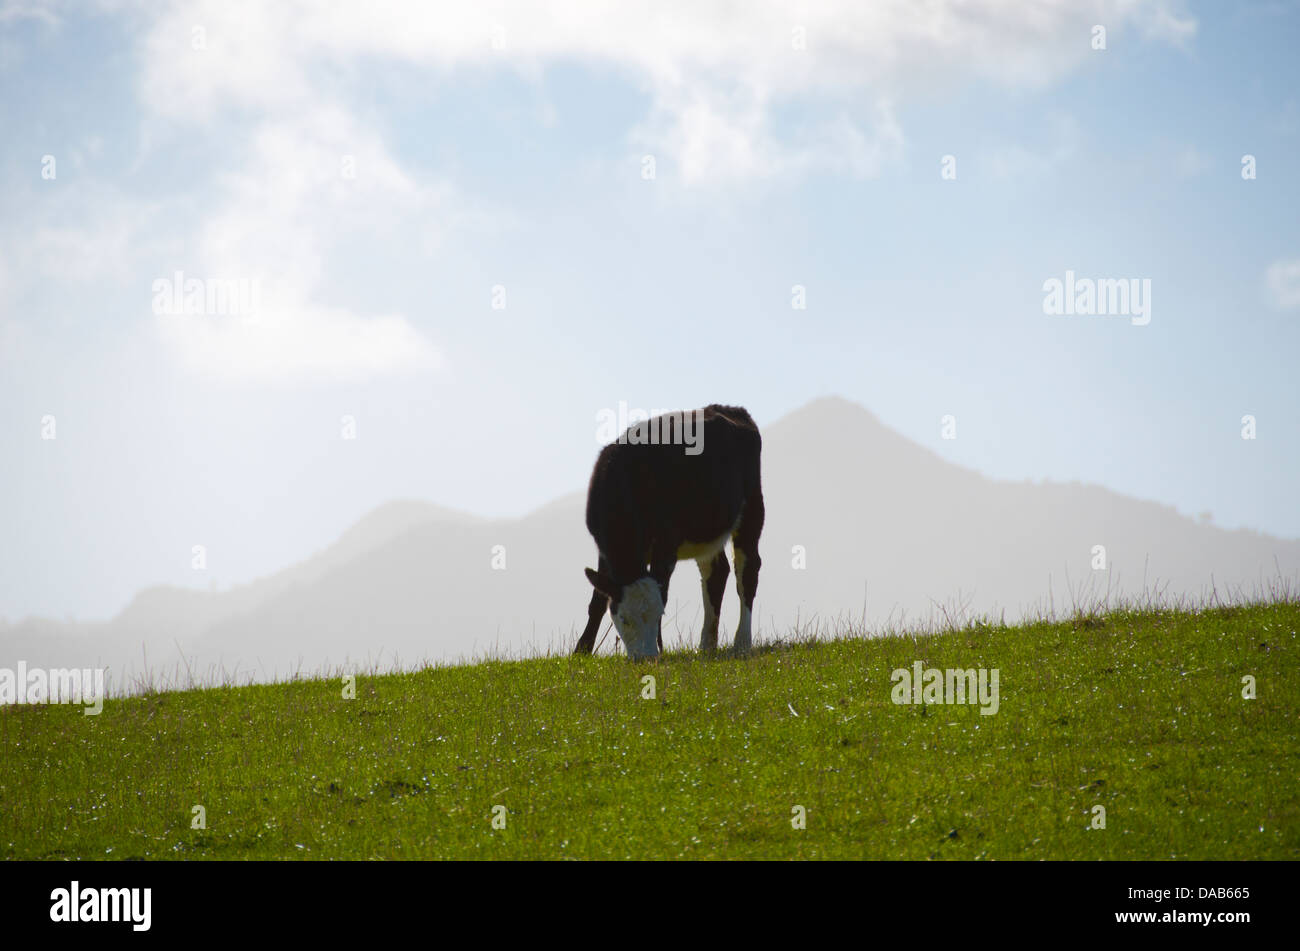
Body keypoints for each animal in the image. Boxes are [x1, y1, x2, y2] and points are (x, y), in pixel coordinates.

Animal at [573, 404, 764, 660]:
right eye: (624, 618)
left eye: (659, 616)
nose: (645, 659)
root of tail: (731, 409)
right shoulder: (603, 550)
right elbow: (598, 600)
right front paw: (581, 650)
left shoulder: (666, 543)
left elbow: (662, 590)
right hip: (706, 530)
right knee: (716, 573)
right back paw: (707, 644)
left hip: (752, 507)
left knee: (747, 570)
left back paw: (742, 642)